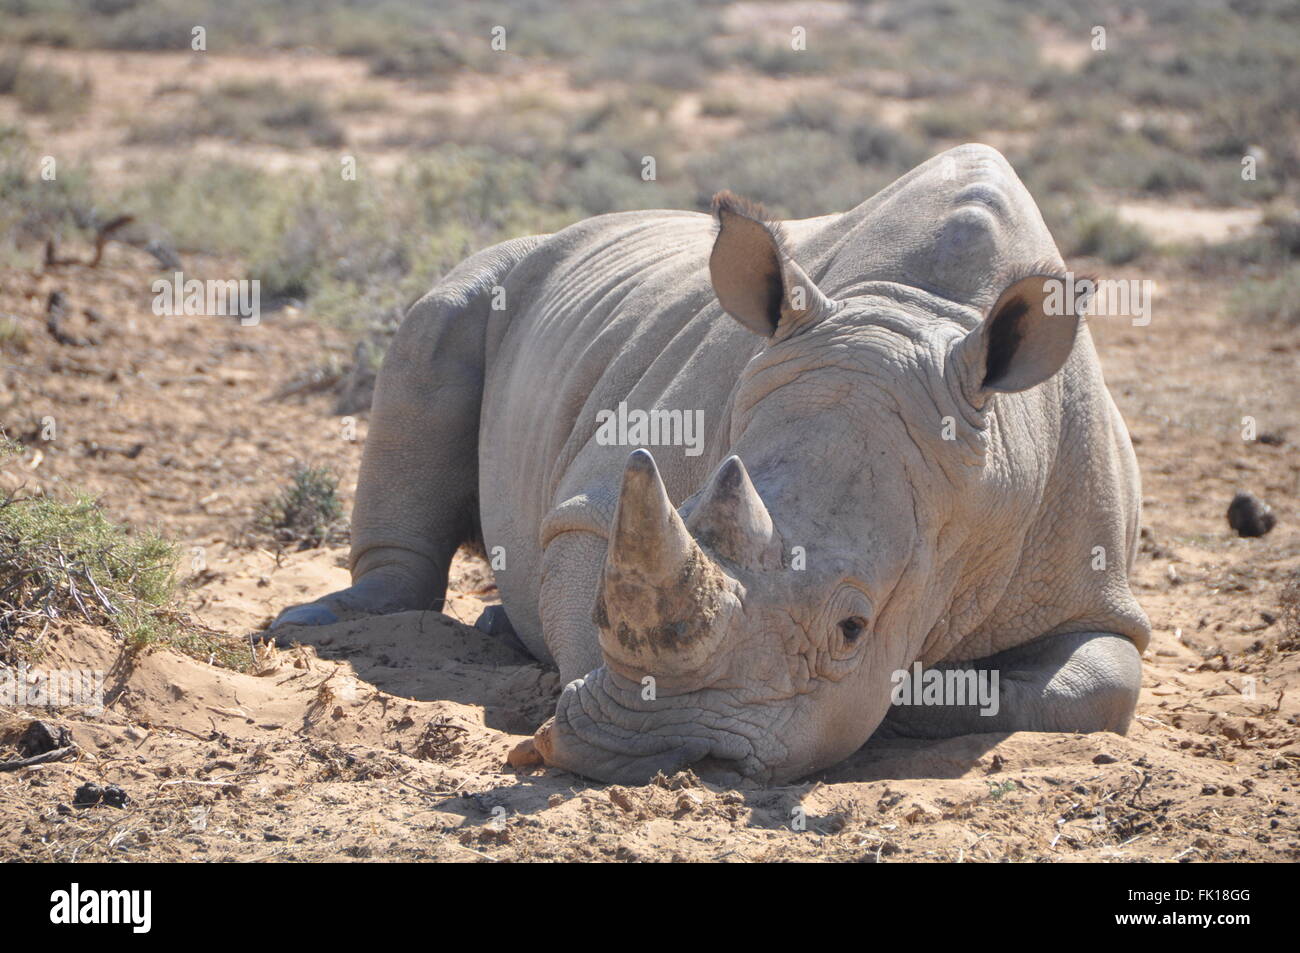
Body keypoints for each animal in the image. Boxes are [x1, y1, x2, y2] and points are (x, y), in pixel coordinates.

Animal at [270, 144, 1150, 785]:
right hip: (493, 276)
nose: (626, 750)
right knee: (432, 330)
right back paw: (310, 624)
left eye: (853, 628)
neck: (917, 310)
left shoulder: (1094, 584)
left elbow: (1102, 681)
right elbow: (589, 579)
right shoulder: (597, 502)